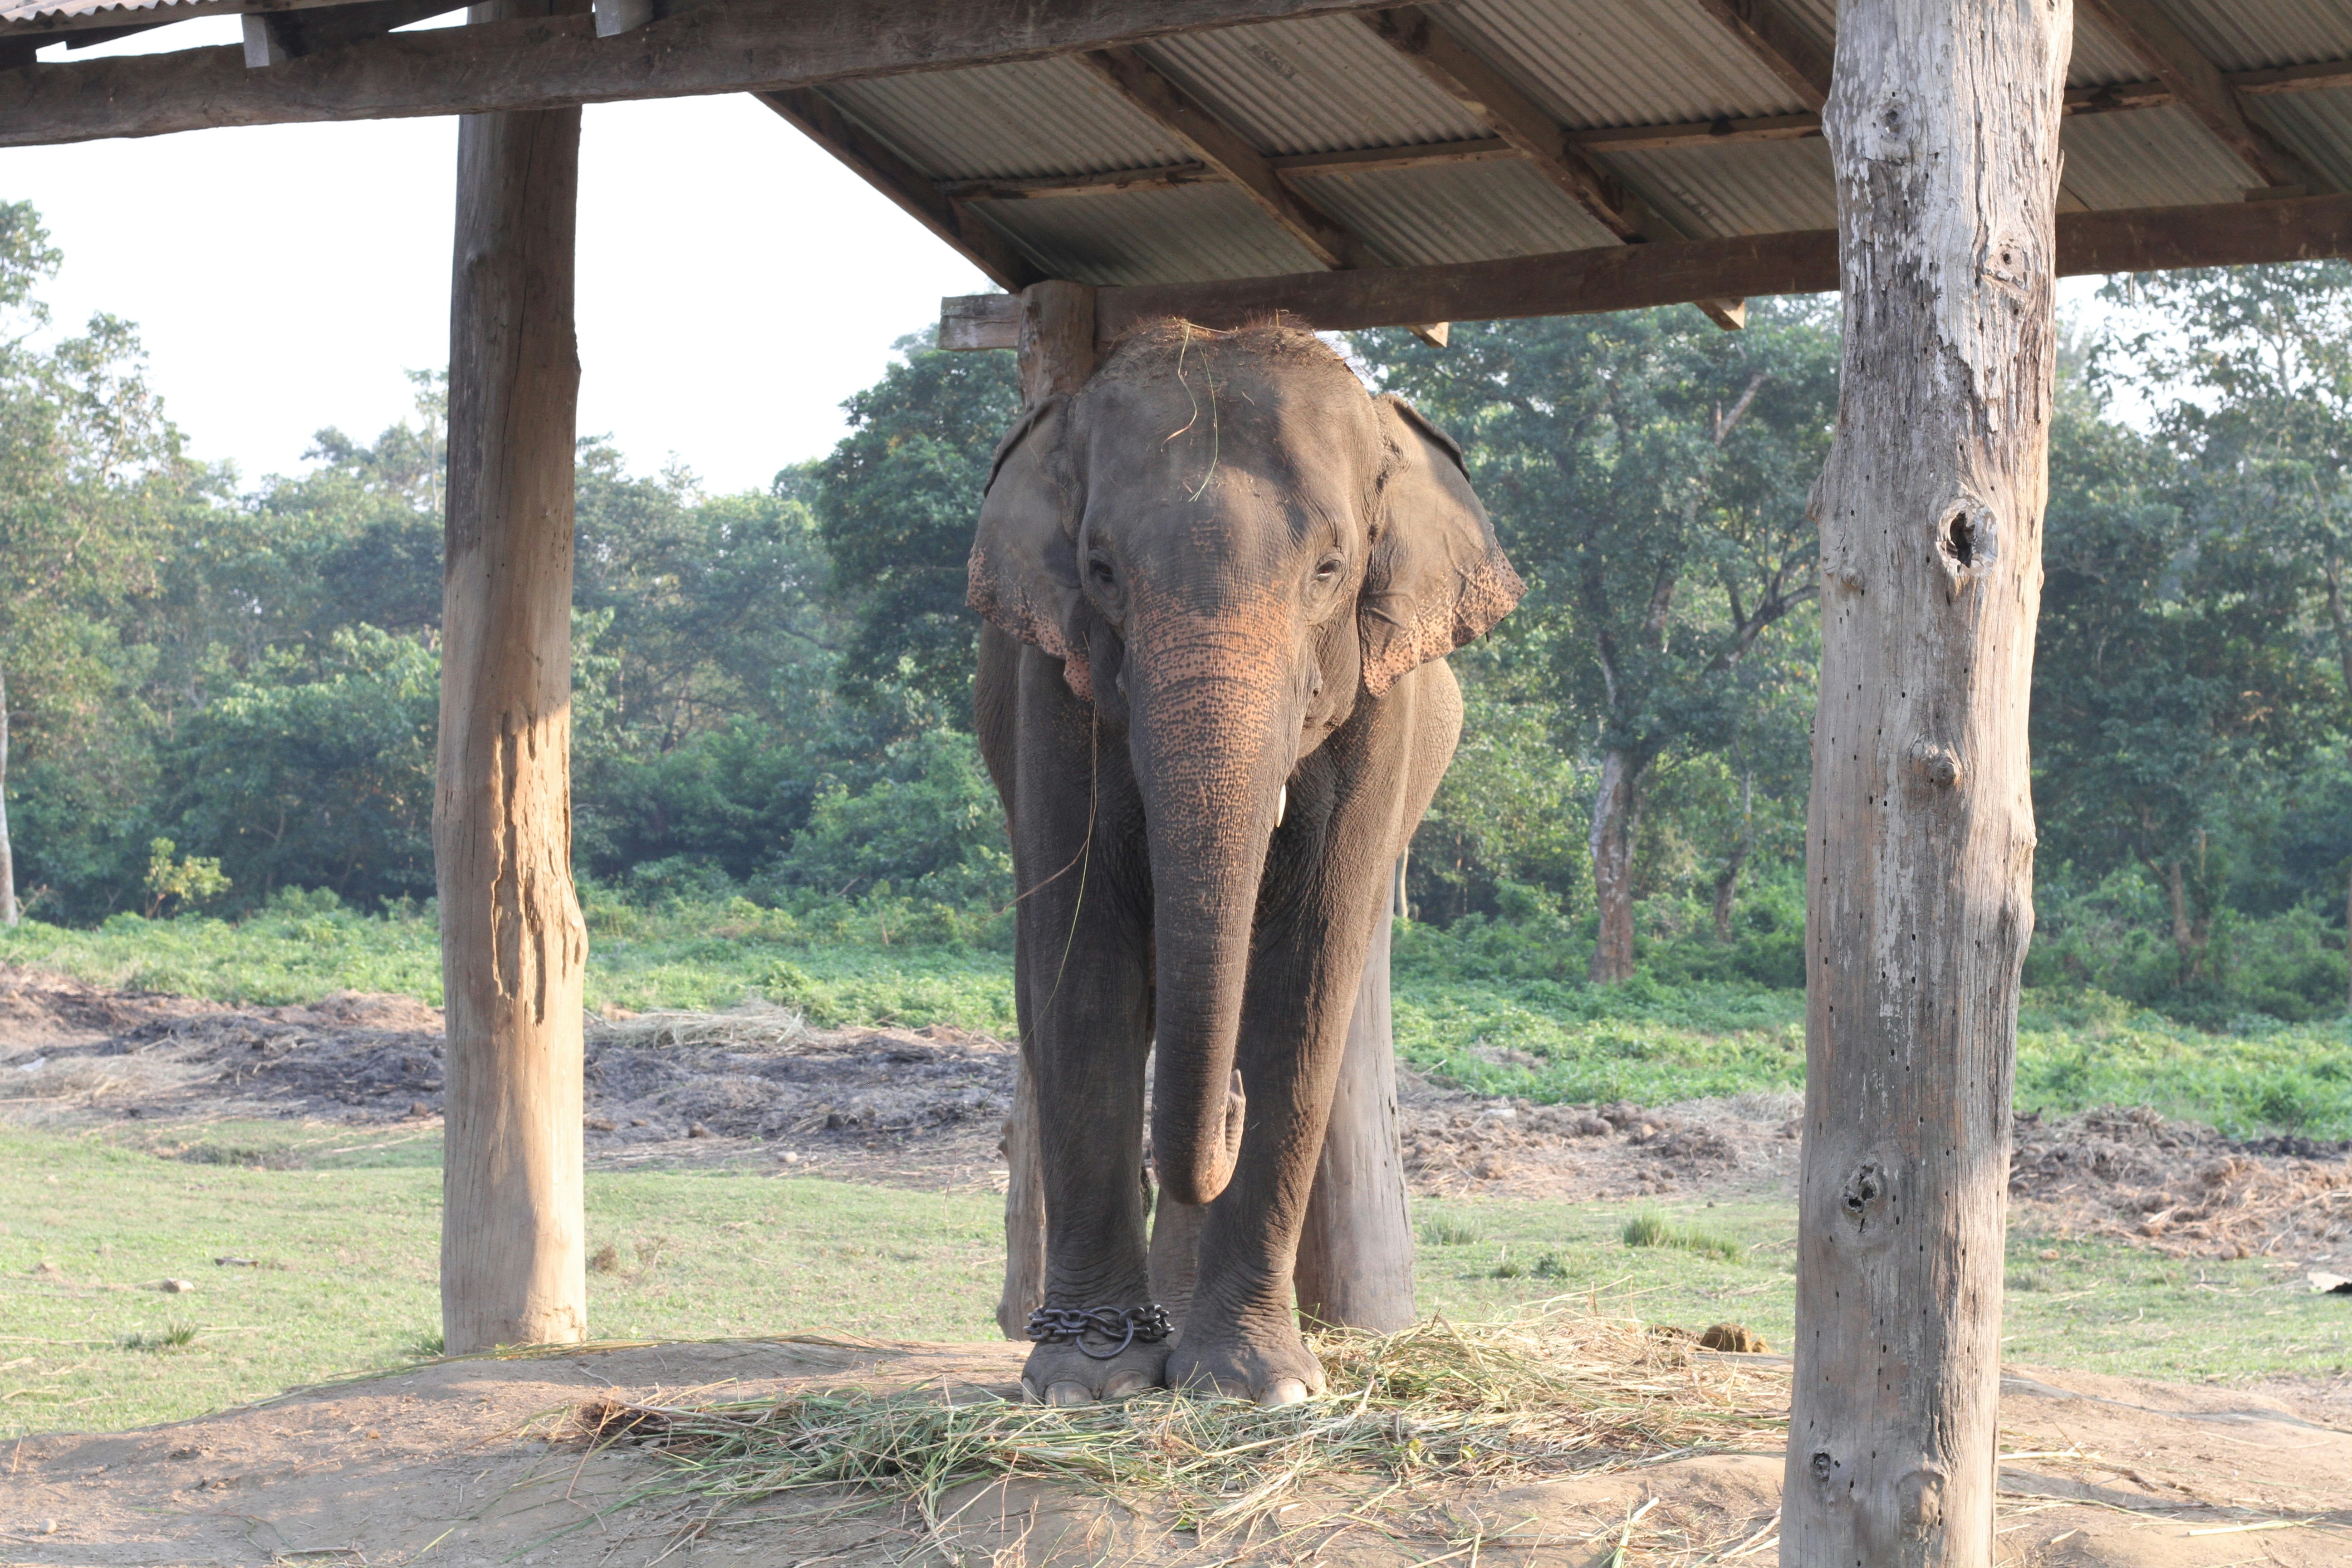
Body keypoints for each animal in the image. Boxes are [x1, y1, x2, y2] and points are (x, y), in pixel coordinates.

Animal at [969, 320, 1520, 1406]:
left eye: (1330, 568)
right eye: (1101, 569)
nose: (1221, 1116)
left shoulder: (1380, 706)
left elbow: (1302, 983)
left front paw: (1258, 1386)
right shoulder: (1051, 689)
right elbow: (1081, 964)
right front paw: (1086, 1382)